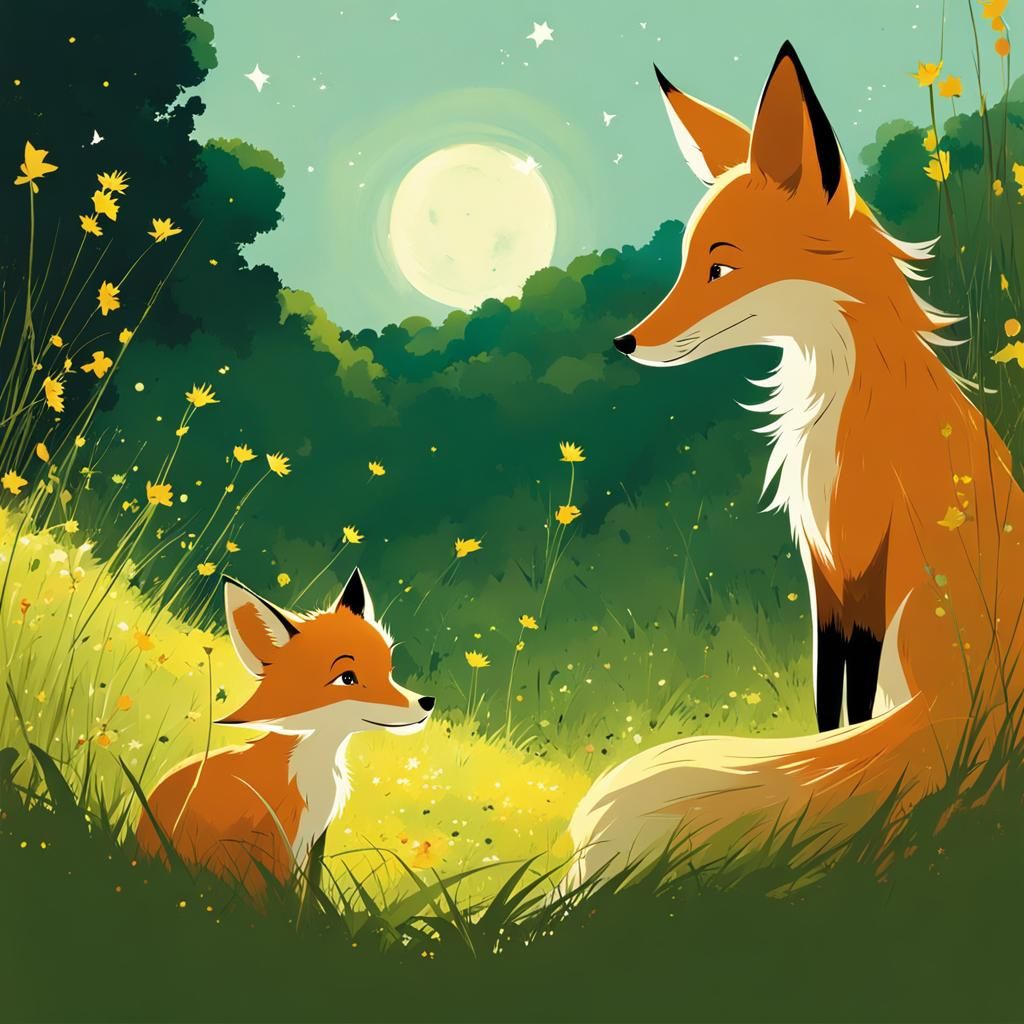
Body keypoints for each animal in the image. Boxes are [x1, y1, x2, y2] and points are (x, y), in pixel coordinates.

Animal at [136, 569, 435, 889]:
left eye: (388, 671)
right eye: (347, 678)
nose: (427, 702)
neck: (311, 768)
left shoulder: (308, 846)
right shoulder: (276, 842)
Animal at [563, 41, 1024, 891]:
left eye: (720, 269)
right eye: (685, 263)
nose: (625, 343)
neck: (834, 402)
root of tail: (975, 715)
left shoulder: (862, 558)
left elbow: (851, 708)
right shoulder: (824, 569)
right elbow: (827, 706)